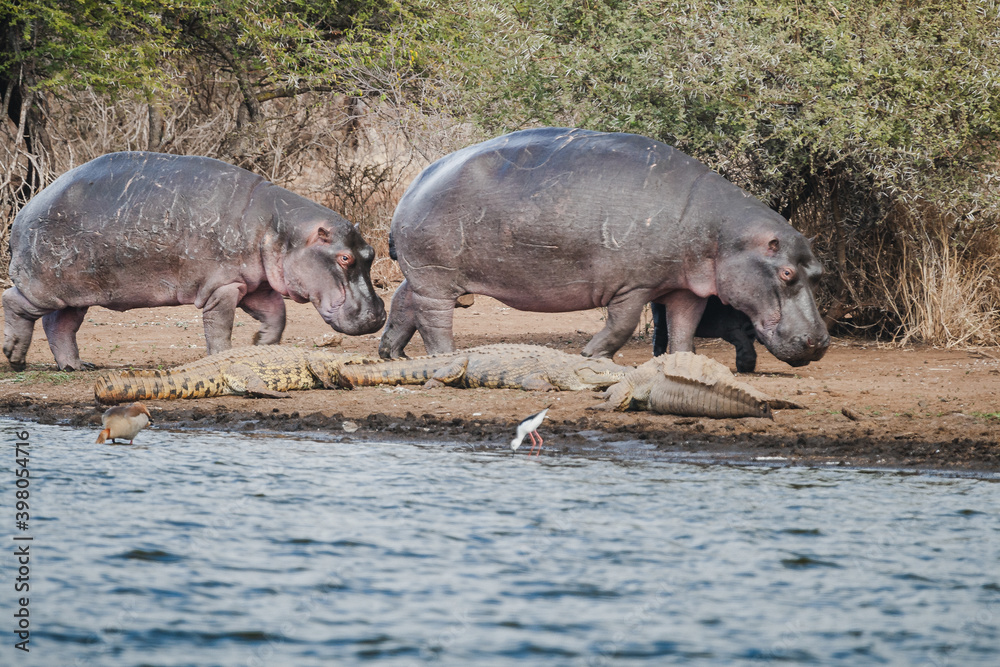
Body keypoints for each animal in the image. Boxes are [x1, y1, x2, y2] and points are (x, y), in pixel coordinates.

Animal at [3, 152, 386, 371]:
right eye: (344, 257)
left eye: (370, 253)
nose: (378, 314)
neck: (279, 227)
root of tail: (25, 208)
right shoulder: (223, 286)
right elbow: (219, 326)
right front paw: (223, 356)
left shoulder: (253, 284)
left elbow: (278, 315)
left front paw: (261, 344)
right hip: (44, 286)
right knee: (14, 301)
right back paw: (15, 357)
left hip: (75, 292)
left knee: (60, 325)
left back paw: (77, 367)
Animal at [378, 127, 829, 366]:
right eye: (787, 272)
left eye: (818, 273)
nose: (820, 341)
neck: (722, 232)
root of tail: (416, 183)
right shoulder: (632, 286)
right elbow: (621, 325)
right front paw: (590, 355)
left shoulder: (685, 288)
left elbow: (684, 328)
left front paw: (680, 362)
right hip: (437, 278)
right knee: (434, 320)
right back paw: (442, 357)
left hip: (422, 274)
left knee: (403, 302)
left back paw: (393, 356)